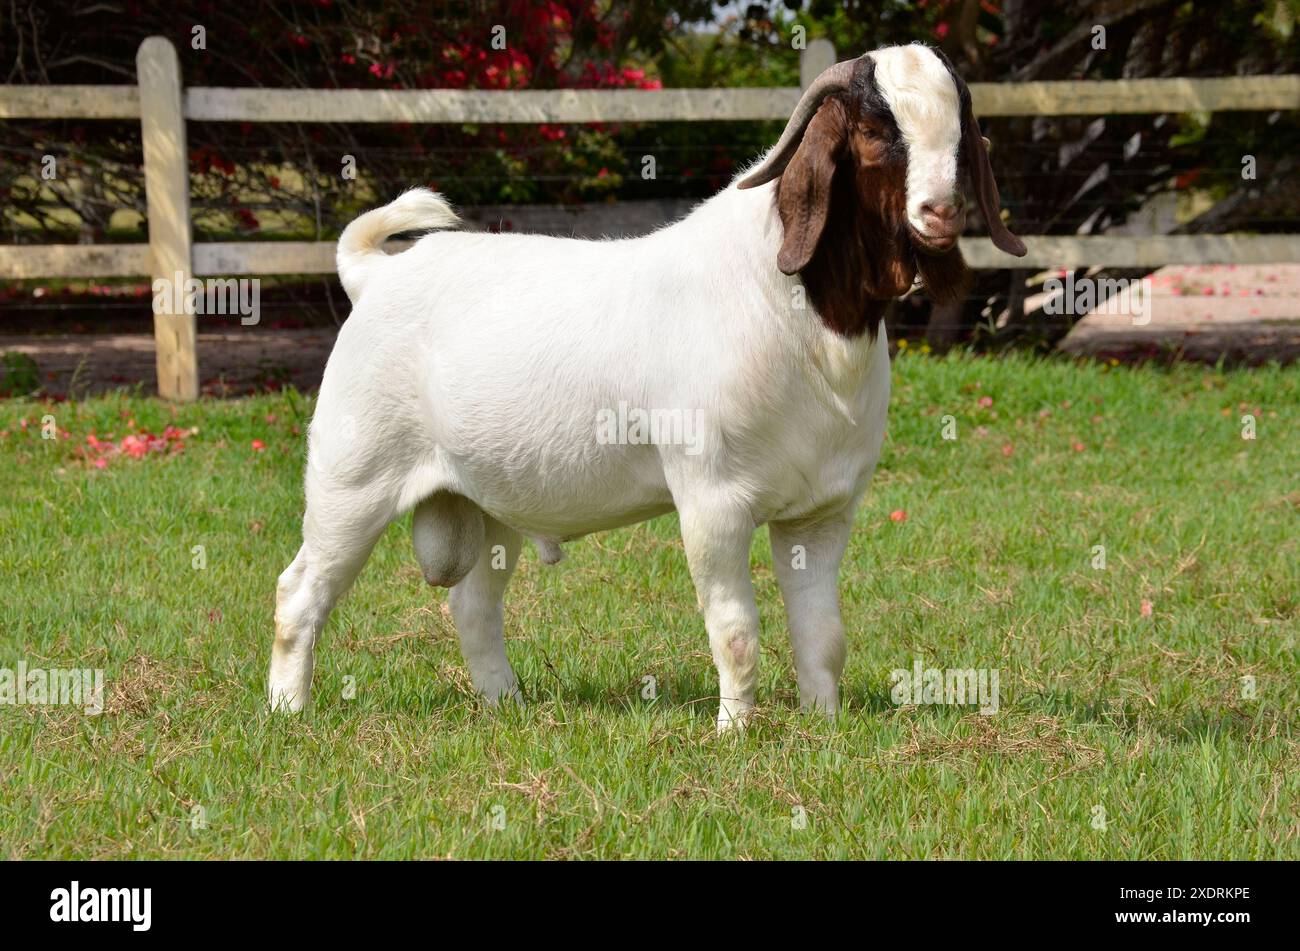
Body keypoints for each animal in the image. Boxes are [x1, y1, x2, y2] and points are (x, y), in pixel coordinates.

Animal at [269, 42, 1026, 730]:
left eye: (960, 129)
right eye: (874, 129)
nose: (941, 212)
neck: (796, 311)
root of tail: (374, 275)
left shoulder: (822, 511)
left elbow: (824, 634)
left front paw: (826, 724)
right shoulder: (711, 502)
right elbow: (735, 628)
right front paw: (735, 731)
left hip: (488, 500)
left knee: (473, 605)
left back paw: (505, 705)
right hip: (352, 479)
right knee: (298, 592)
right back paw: (287, 711)